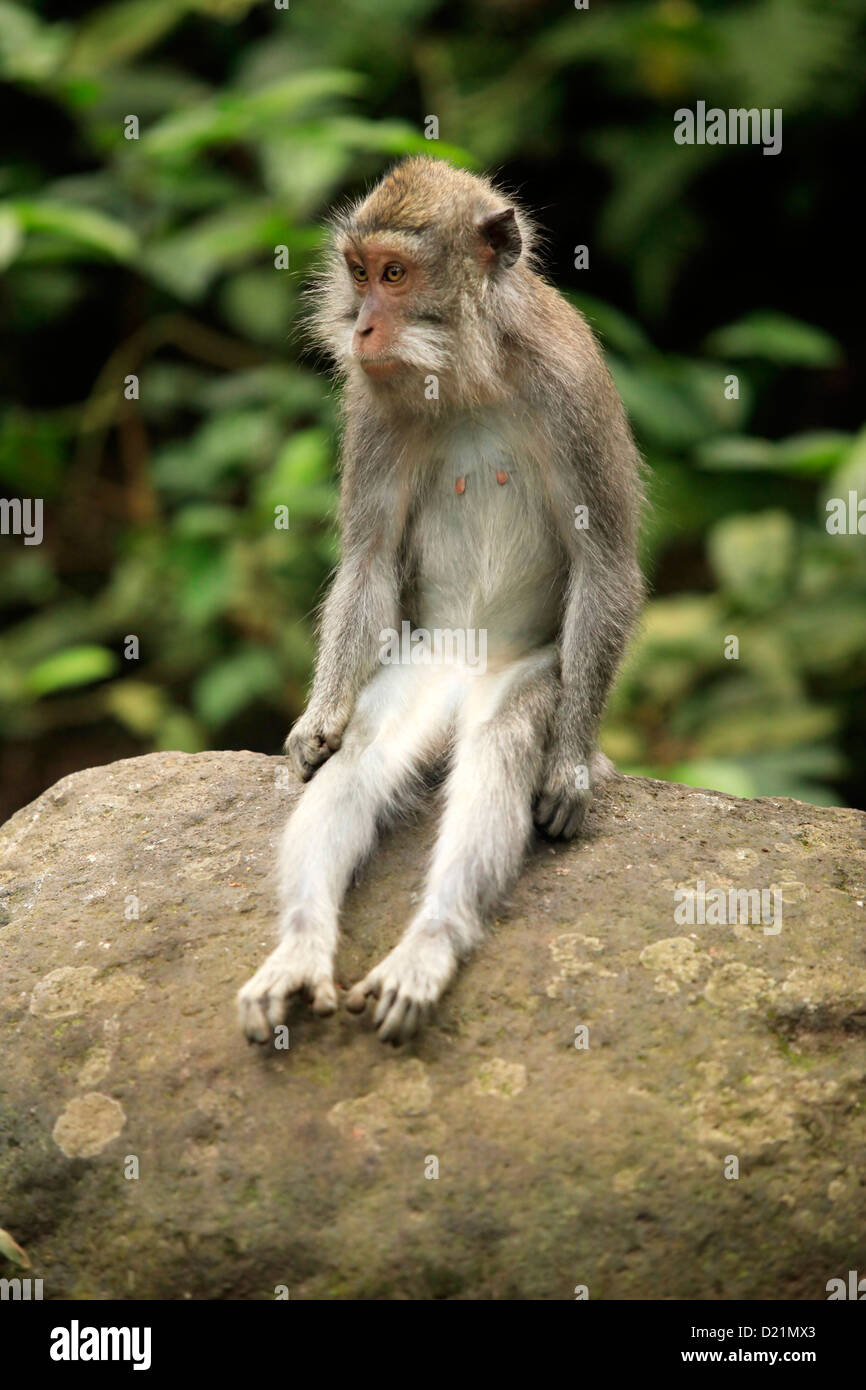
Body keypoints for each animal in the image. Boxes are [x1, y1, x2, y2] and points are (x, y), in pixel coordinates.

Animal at [237, 156, 644, 1046]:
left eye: (397, 275)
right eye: (358, 274)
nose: (361, 329)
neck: (470, 377)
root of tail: (464, 681)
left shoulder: (575, 383)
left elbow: (606, 564)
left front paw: (570, 769)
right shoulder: (371, 403)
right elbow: (368, 559)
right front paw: (317, 719)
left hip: (525, 677)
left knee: (499, 746)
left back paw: (429, 944)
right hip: (419, 667)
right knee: (363, 761)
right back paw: (302, 947)